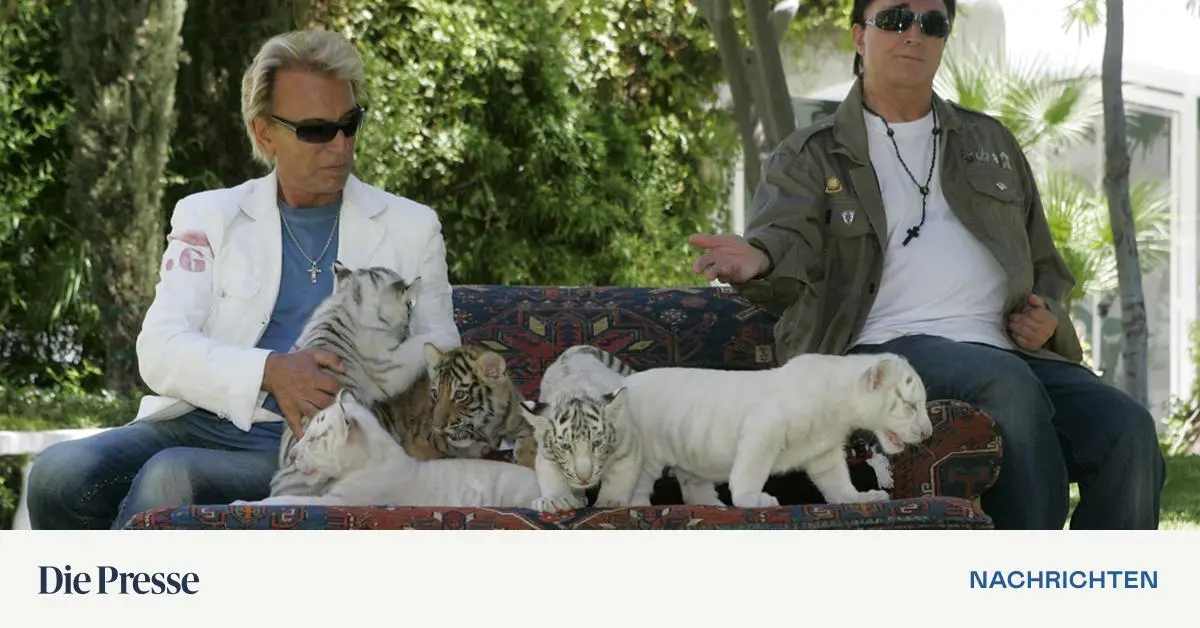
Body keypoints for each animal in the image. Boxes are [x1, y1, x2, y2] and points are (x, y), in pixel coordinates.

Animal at [519, 345, 642, 513]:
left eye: (597, 443)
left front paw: (610, 501)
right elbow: (552, 475)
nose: (584, 477)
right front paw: (555, 499)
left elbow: (619, 475)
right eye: (565, 446)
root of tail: (576, 350)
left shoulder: (627, 444)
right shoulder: (546, 453)